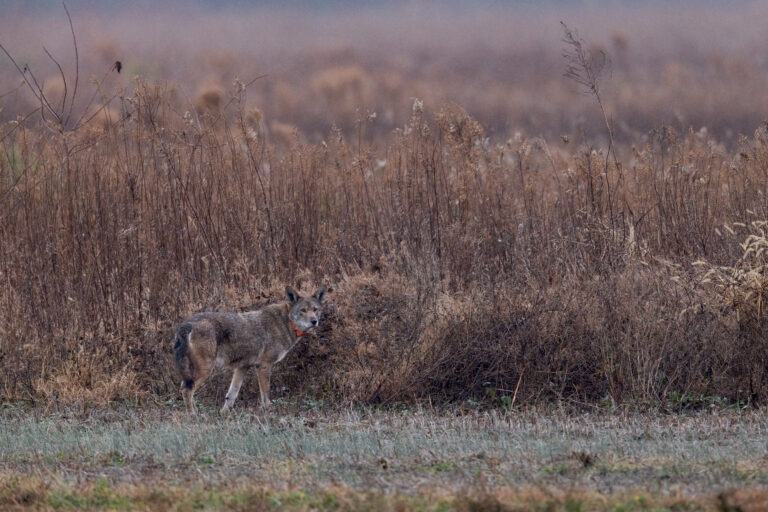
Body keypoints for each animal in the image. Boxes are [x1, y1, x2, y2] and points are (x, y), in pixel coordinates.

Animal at [172, 286, 326, 414]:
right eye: (303, 310)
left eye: (315, 309)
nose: (314, 321)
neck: (285, 322)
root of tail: (186, 324)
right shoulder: (264, 366)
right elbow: (266, 396)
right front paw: (270, 413)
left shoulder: (242, 367)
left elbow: (231, 395)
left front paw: (224, 415)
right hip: (205, 370)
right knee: (186, 390)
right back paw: (193, 416)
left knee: (185, 389)